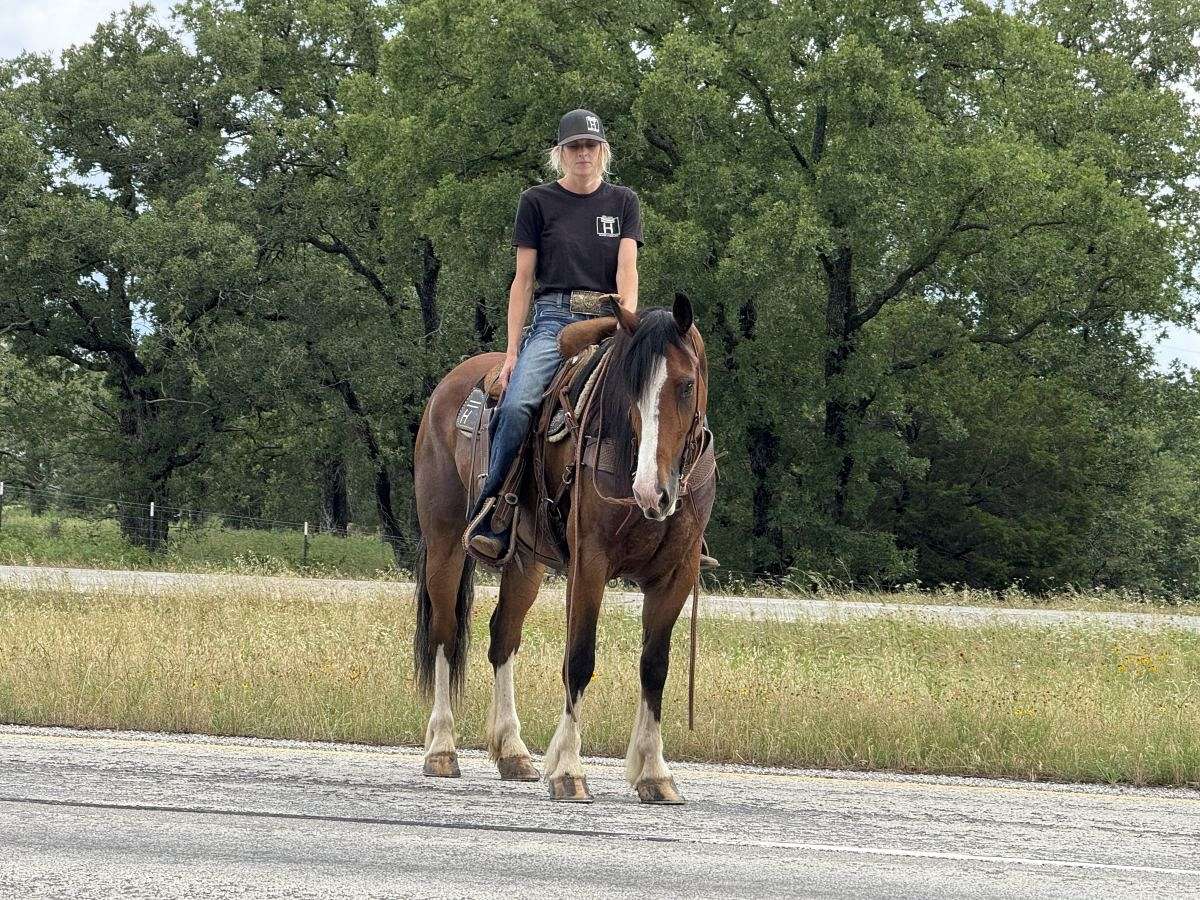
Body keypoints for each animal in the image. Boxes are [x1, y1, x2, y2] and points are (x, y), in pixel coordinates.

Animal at [411, 293, 715, 803]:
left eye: (686, 385)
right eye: (630, 390)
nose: (652, 491)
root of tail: (445, 389)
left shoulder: (676, 573)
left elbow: (655, 666)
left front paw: (654, 774)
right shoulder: (589, 564)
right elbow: (579, 658)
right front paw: (569, 770)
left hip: (526, 563)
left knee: (502, 637)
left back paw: (513, 753)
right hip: (445, 543)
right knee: (445, 635)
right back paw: (442, 749)